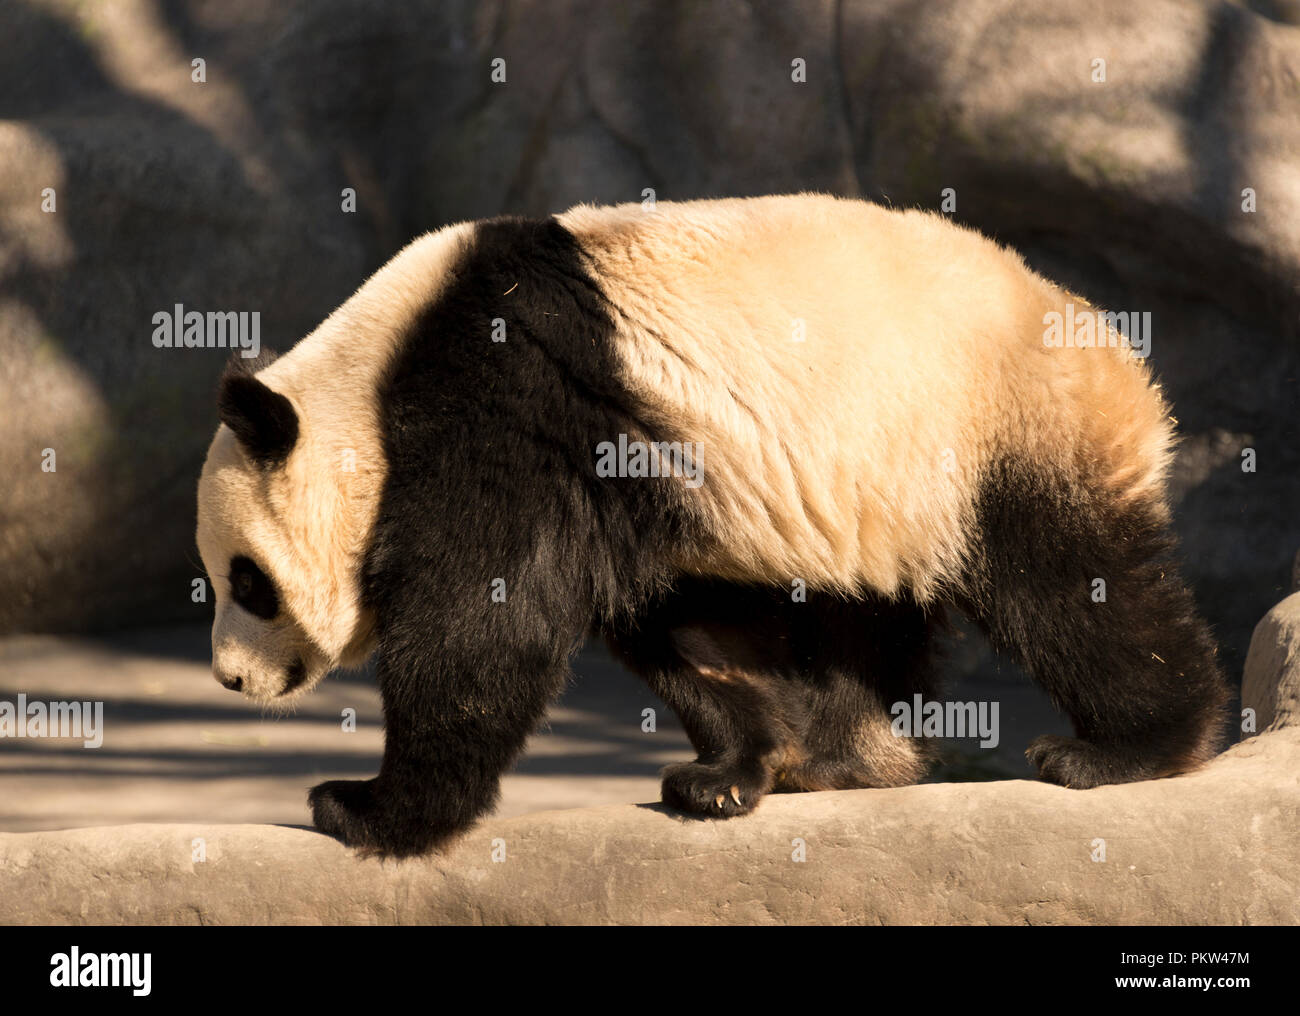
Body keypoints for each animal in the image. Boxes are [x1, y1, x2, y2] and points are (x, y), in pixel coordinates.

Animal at [195, 194, 1230, 857]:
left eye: (247, 581)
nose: (230, 679)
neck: (370, 386)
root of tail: (1119, 355)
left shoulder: (500, 403)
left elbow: (482, 621)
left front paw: (364, 807)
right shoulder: (648, 473)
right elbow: (681, 620)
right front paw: (727, 772)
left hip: (993, 430)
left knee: (1070, 583)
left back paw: (1124, 749)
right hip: (885, 484)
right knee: (868, 614)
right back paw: (846, 759)